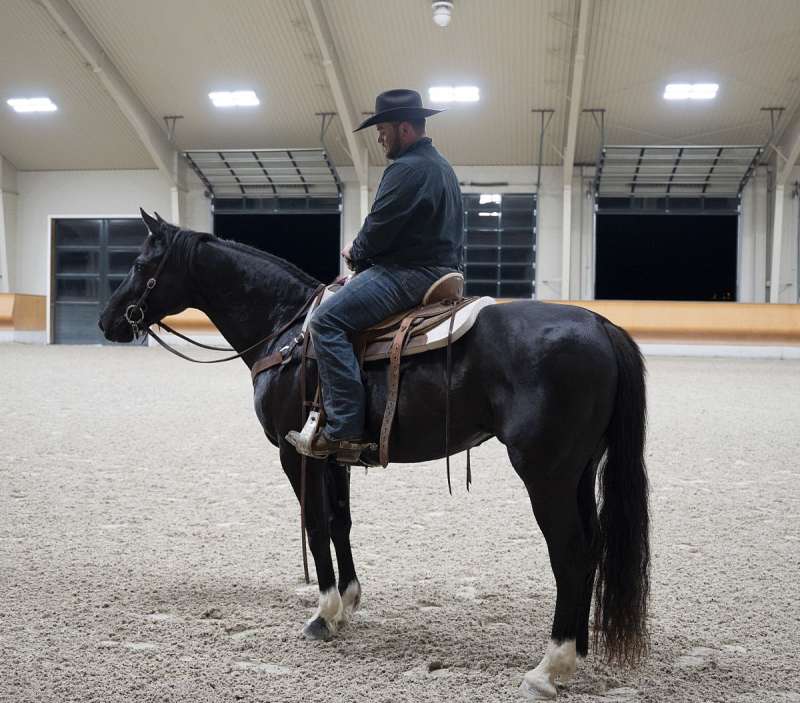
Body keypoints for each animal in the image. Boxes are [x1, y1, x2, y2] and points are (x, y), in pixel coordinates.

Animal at [98, 210, 649, 700]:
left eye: (141, 264)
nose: (107, 321)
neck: (287, 331)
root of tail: (600, 326)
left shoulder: (295, 456)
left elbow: (315, 526)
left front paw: (324, 615)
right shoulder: (332, 455)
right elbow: (339, 523)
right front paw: (349, 599)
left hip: (546, 473)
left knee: (570, 553)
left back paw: (549, 667)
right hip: (578, 471)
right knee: (593, 546)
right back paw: (577, 651)